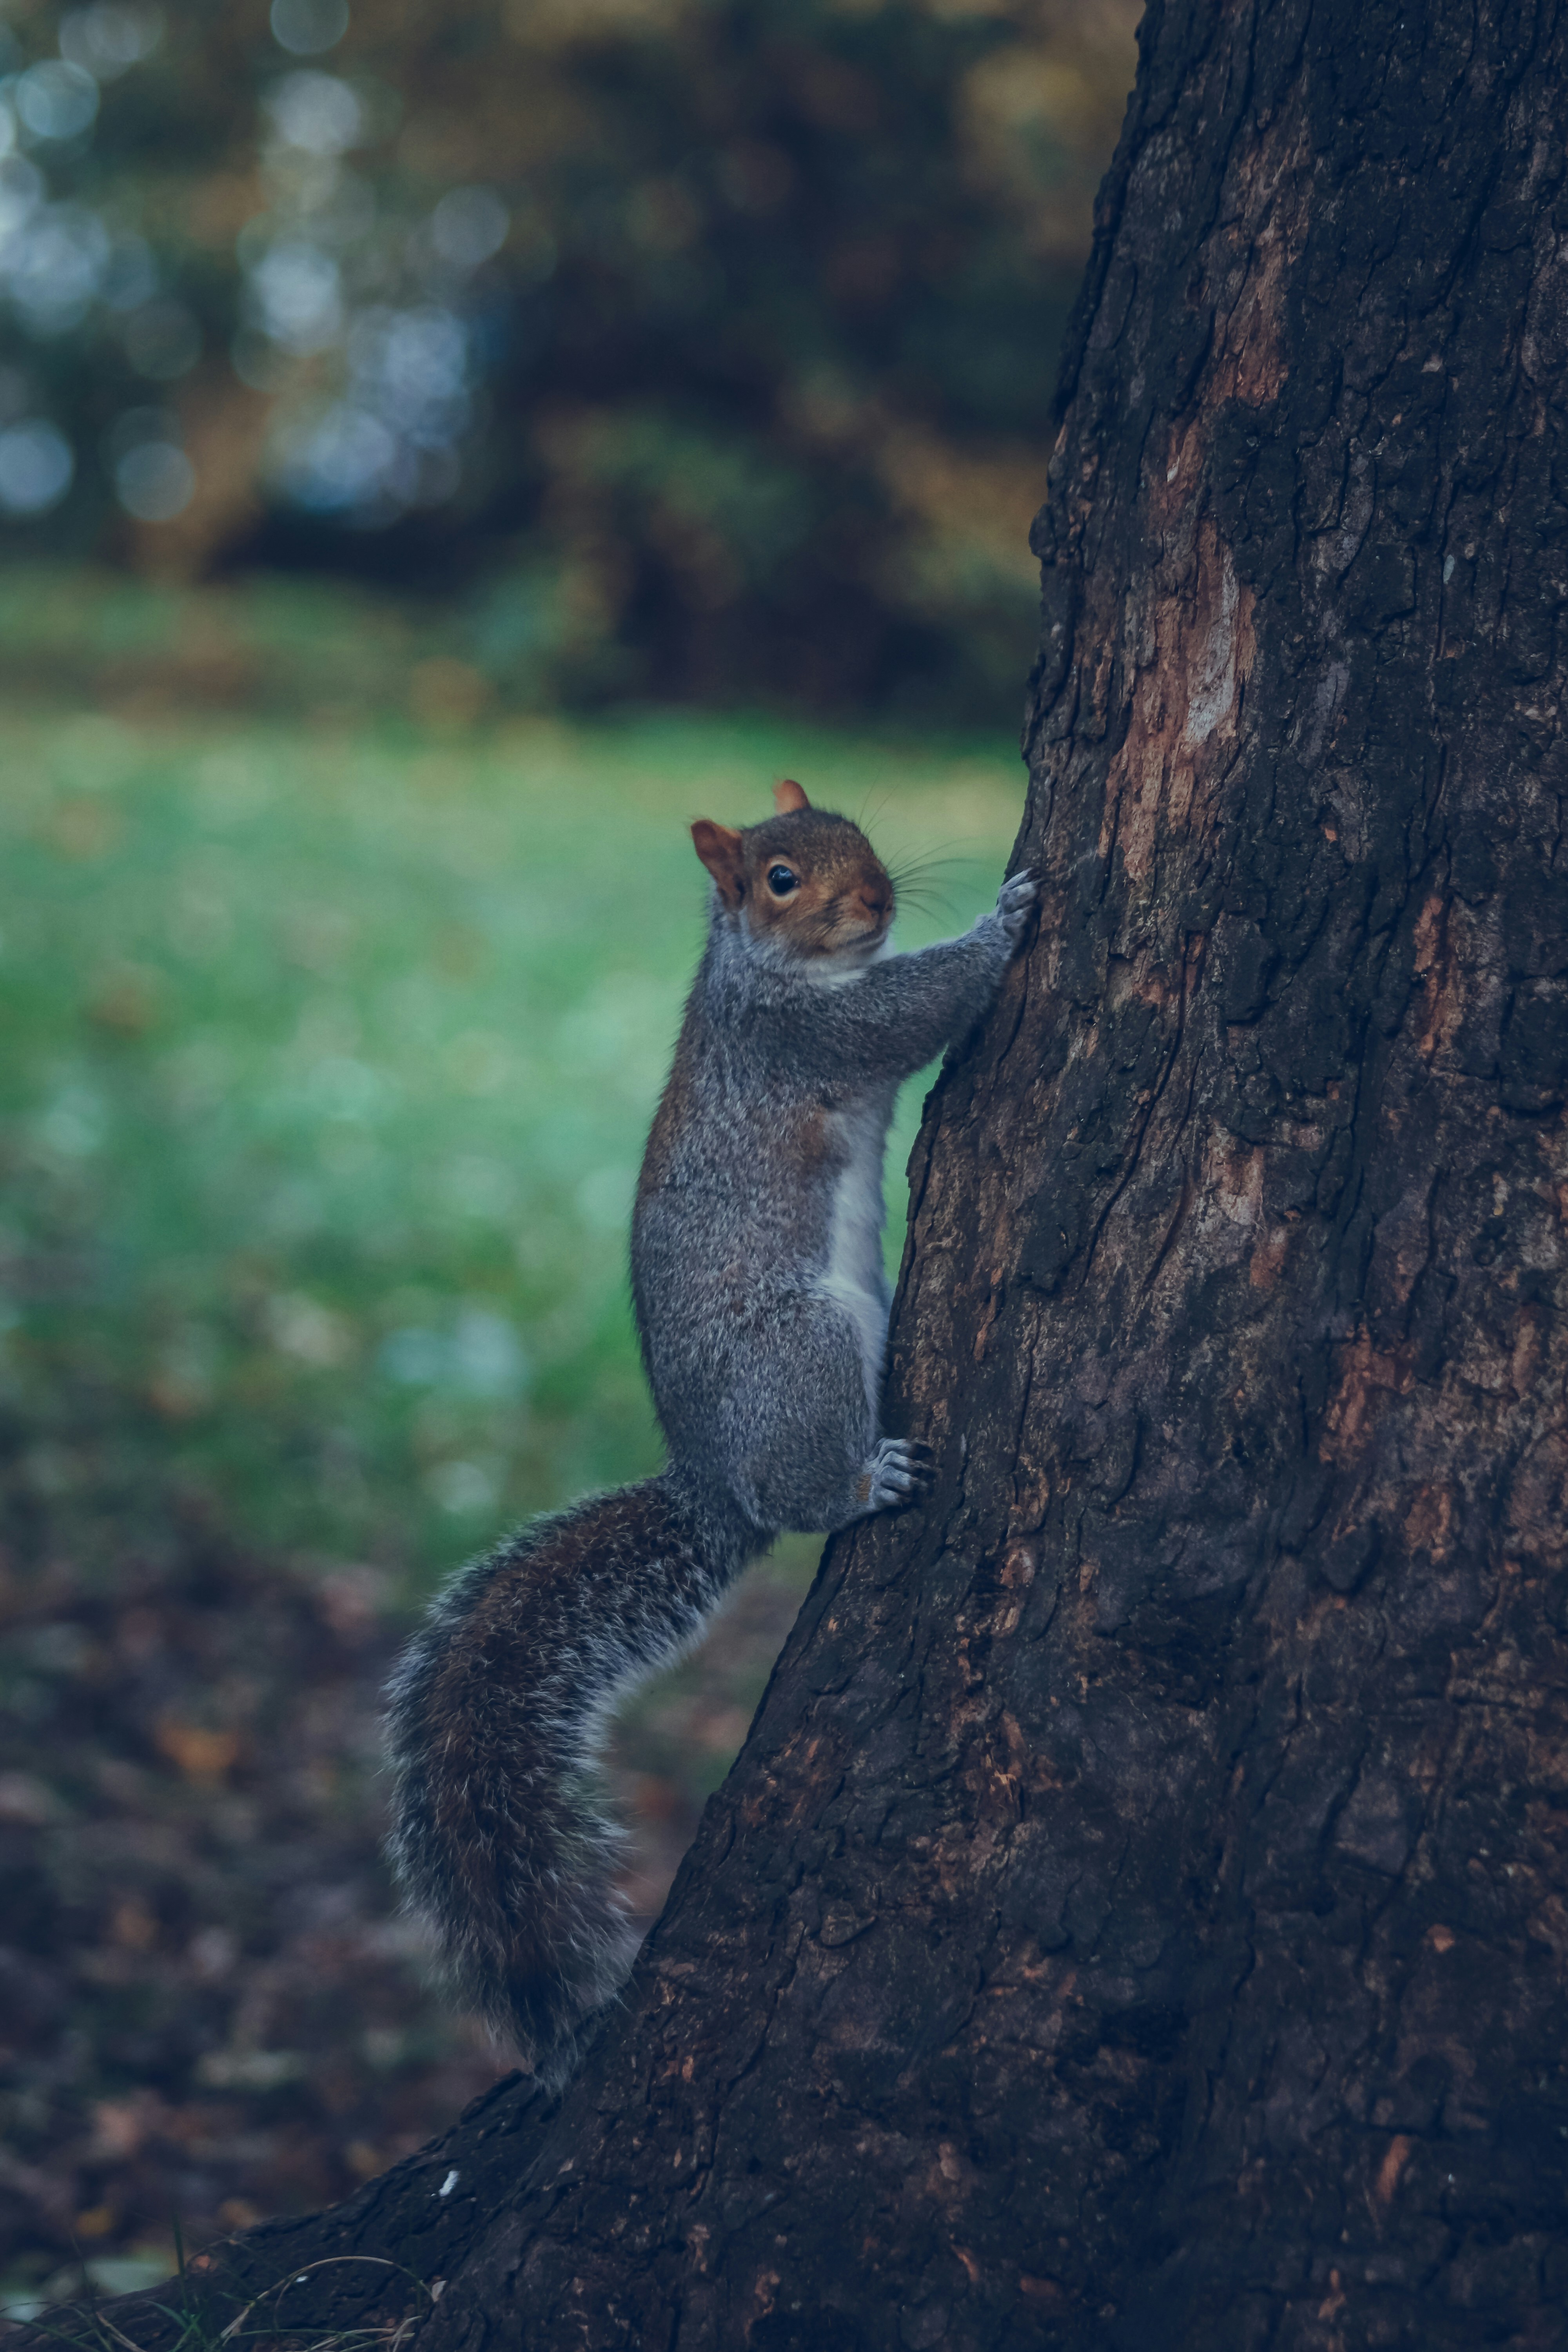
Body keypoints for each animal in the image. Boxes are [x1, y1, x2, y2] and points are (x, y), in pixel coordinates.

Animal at [384, 779, 1037, 2082]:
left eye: (862, 835)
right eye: (779, 879)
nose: (876, 899)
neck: (772, 965)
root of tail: (712, 1479)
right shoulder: (798, 1033)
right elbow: (915, 1004)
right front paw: (1006, 914)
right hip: (804, 1351)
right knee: (803, 1499)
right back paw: (863, 1483)